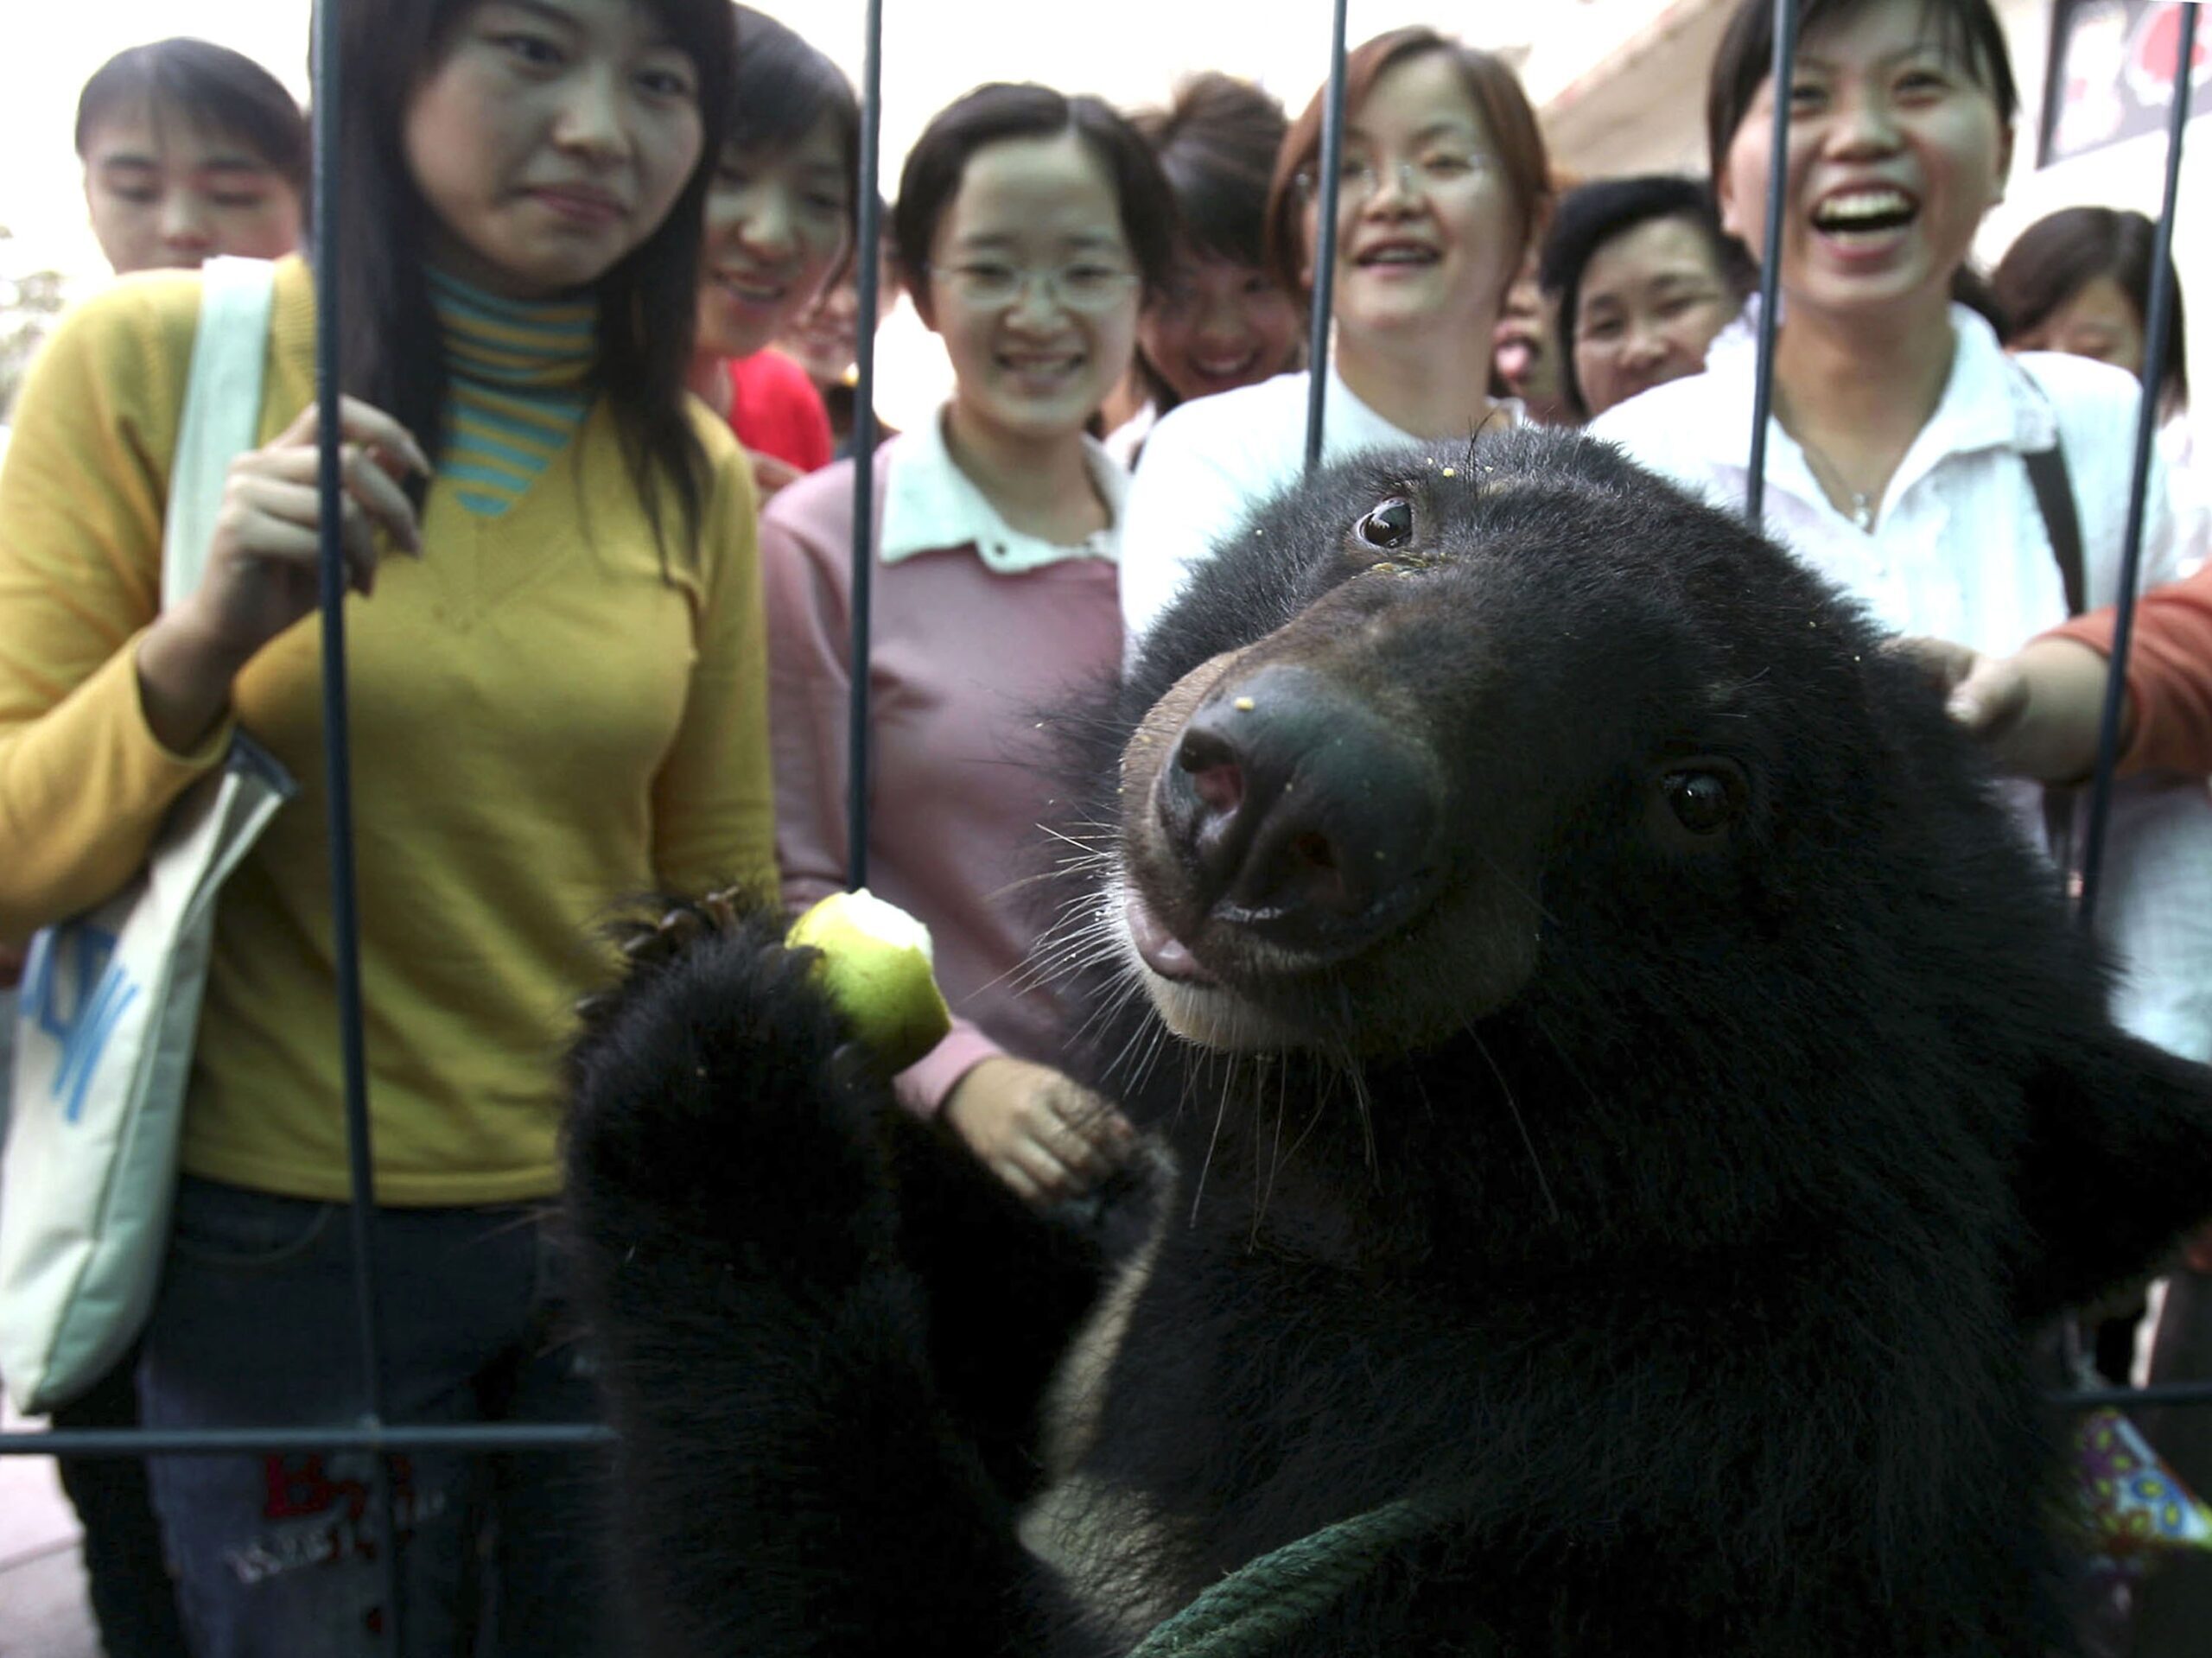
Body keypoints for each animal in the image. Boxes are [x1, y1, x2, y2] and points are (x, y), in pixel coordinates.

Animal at [562, 426, 2212, 1657]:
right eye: (1393, 516)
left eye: (1702, 792)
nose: (1281, 791)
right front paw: (694, 964)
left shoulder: (1597, 1524)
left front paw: (717, 1088)